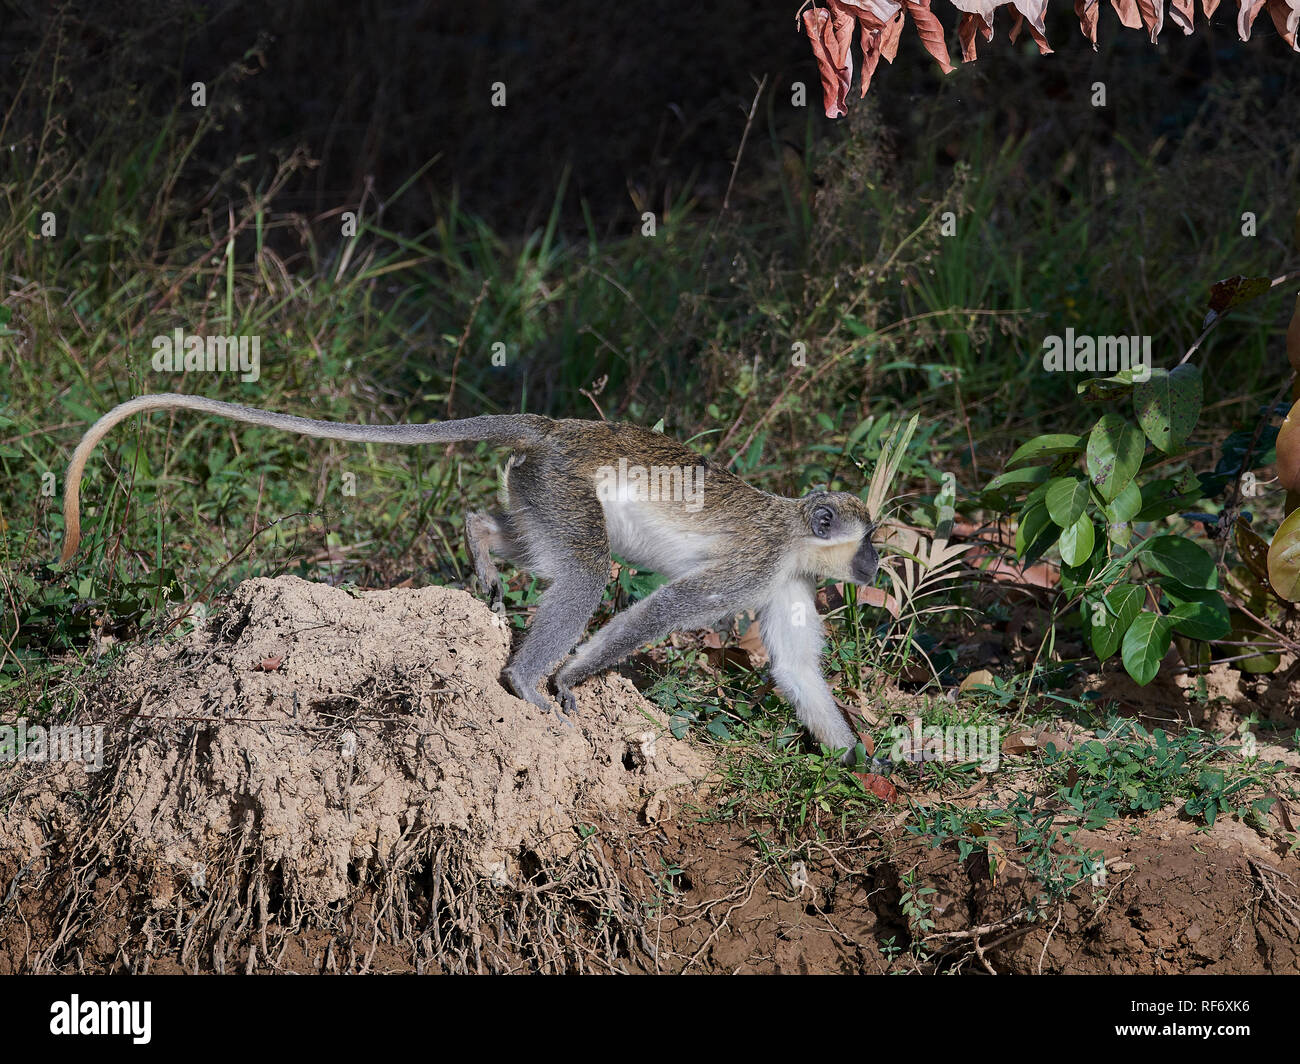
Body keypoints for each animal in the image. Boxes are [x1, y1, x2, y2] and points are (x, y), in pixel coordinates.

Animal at [60, 394, 879, 762]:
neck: (795, 538)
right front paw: (570, 678)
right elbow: (671, 604)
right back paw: (524, 680)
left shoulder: (788, 584)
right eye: (868, 539)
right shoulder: (756, 564)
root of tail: (556, 429)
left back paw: (482, 542)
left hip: (538, 491)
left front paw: (858, 764)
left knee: (536, 545)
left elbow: (799, 671)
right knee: (588, 568)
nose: (875, 567)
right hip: (560, 484)